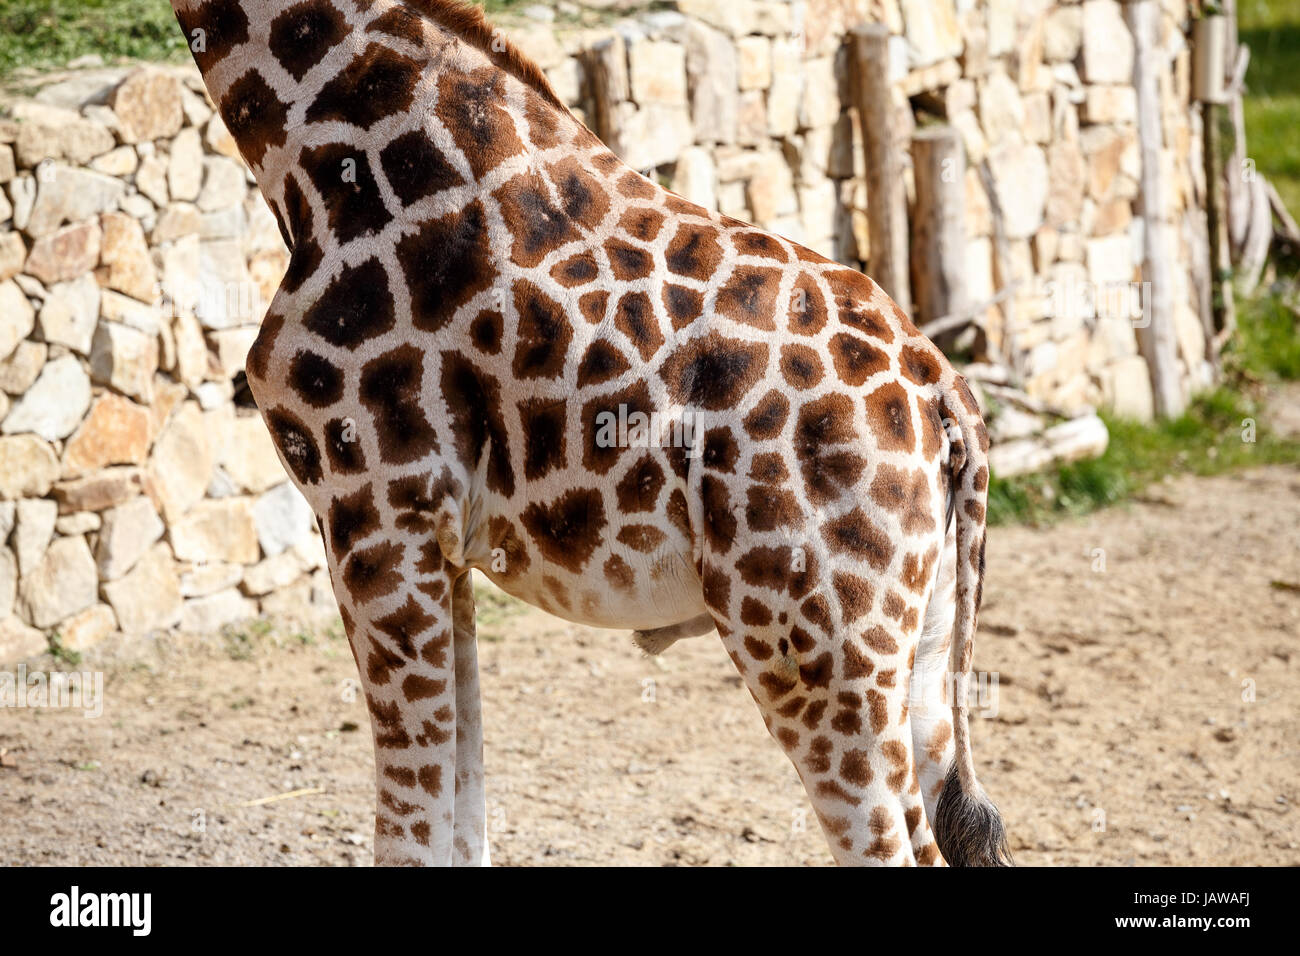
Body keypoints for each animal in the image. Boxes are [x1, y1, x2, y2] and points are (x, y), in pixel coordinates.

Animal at [168, 0, 1011, 866]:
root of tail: (946, 396)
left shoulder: (374, 515)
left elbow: (410, 826)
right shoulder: (438, 541)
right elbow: (465, 810)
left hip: (814, 647)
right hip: (917, 644)